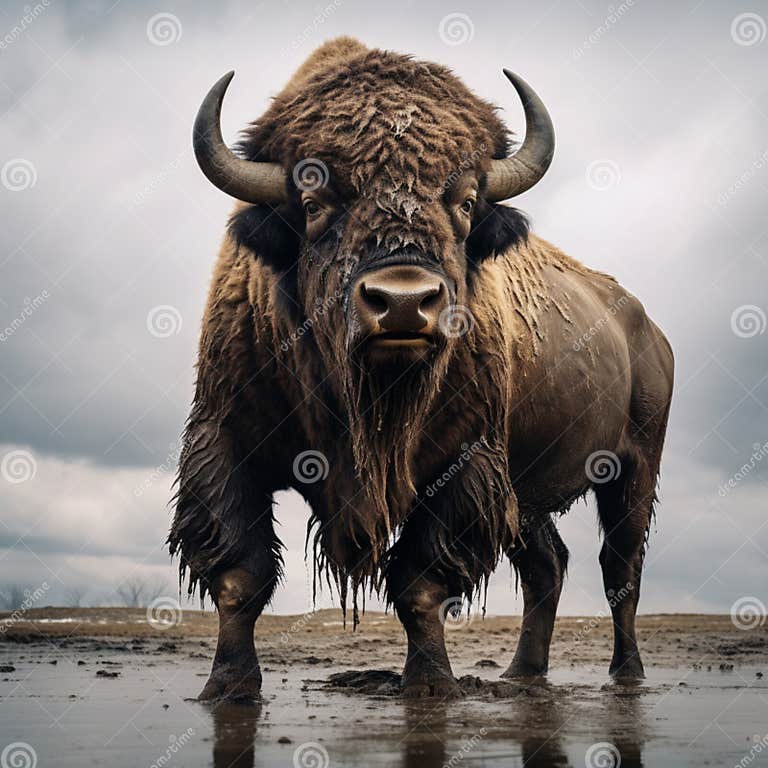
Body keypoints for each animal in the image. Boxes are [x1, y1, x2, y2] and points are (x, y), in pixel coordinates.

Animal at [169, 37, 674, 700]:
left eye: (465, 202)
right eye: (312, 201)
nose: (405, 301)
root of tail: (648, 329)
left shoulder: (466, 464)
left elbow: (421, 583)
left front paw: (432, 683)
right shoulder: (226, 443)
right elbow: (238, 576)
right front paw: (227, 687)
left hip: (633, 469)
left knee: (620, 569)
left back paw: (626, 674)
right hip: (529, 492)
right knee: (549, 566)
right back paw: (522, 674)